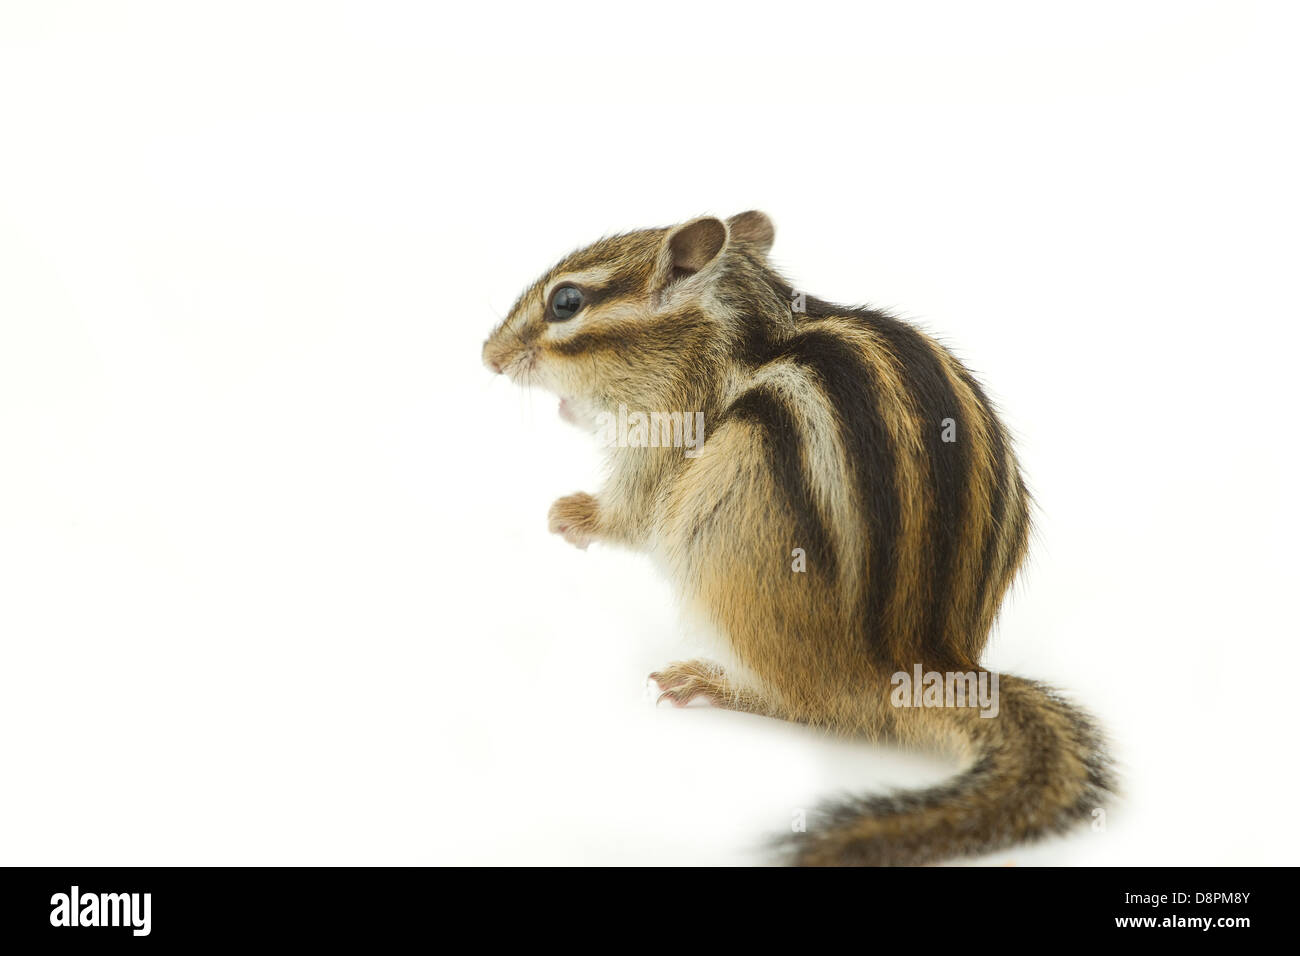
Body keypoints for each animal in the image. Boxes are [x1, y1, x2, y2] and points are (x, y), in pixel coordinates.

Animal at [482, 211, 1114, 866]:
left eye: (566, 302)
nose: (487, 356)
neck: (727, 334)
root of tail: (918, 663)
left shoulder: (664, 432)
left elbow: (631, 516)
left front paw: (572, 514)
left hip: (722, 555)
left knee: (804, 704)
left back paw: (710, 682)